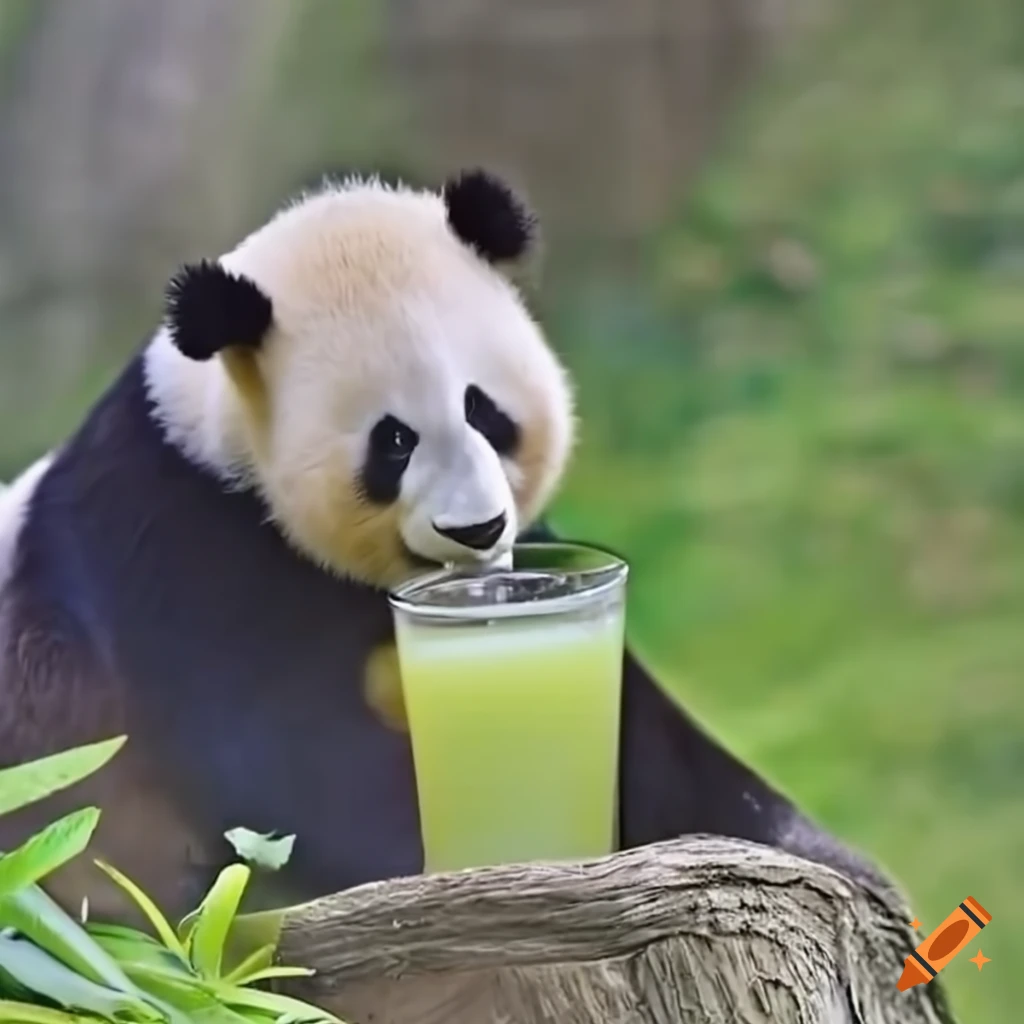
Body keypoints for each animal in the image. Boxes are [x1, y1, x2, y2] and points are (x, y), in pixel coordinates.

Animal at [0, 169, 889, 922]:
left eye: (484, 409)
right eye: (392, 442)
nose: (477, 529)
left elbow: (648, 739)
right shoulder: (184, 537)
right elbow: (286, 748)